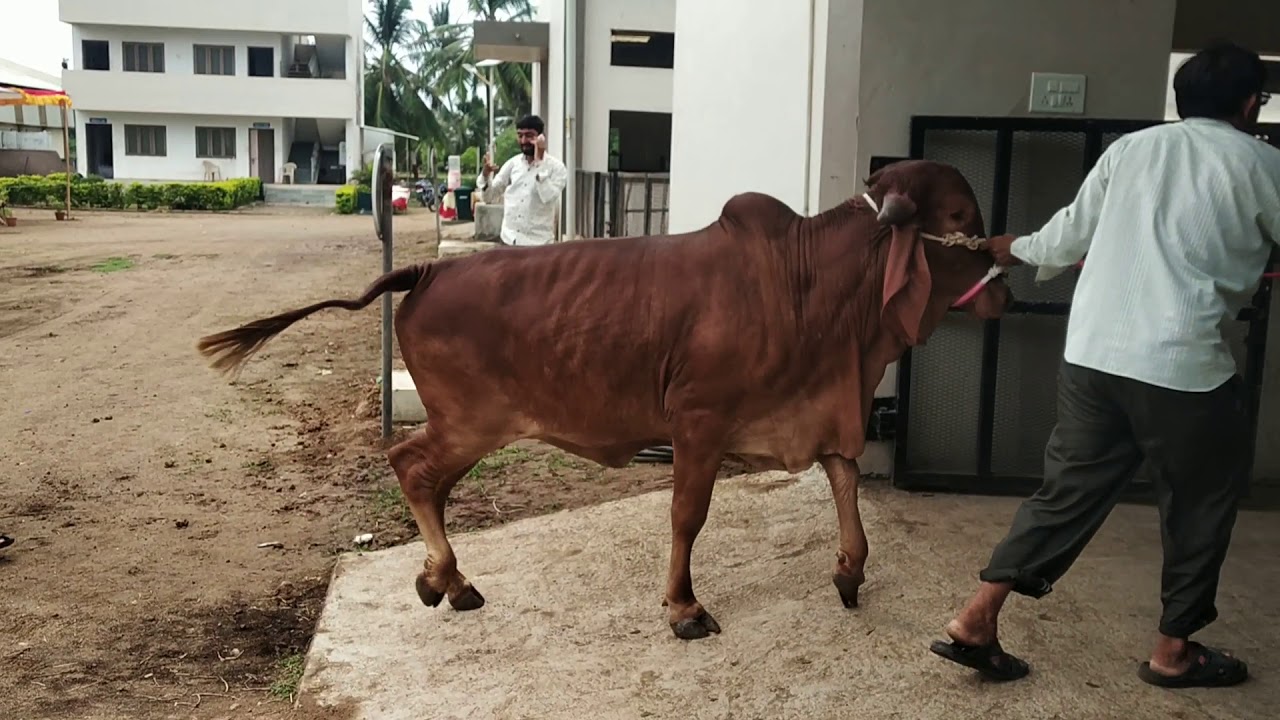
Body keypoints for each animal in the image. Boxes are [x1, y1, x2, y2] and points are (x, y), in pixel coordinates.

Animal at [197, 159, 1011, 641]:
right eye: (960, 218)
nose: (1005, 283)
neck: (811, 286)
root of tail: (427, 272)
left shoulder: (820, 413)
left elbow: (845, 484)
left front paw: (849, 572)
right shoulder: (700, 422)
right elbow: (688, 515)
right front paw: (684, 607)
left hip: (471, 427)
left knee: (422, 475)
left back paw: (445, 580)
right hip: (471, 422)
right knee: (412, 466)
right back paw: (448, 579)